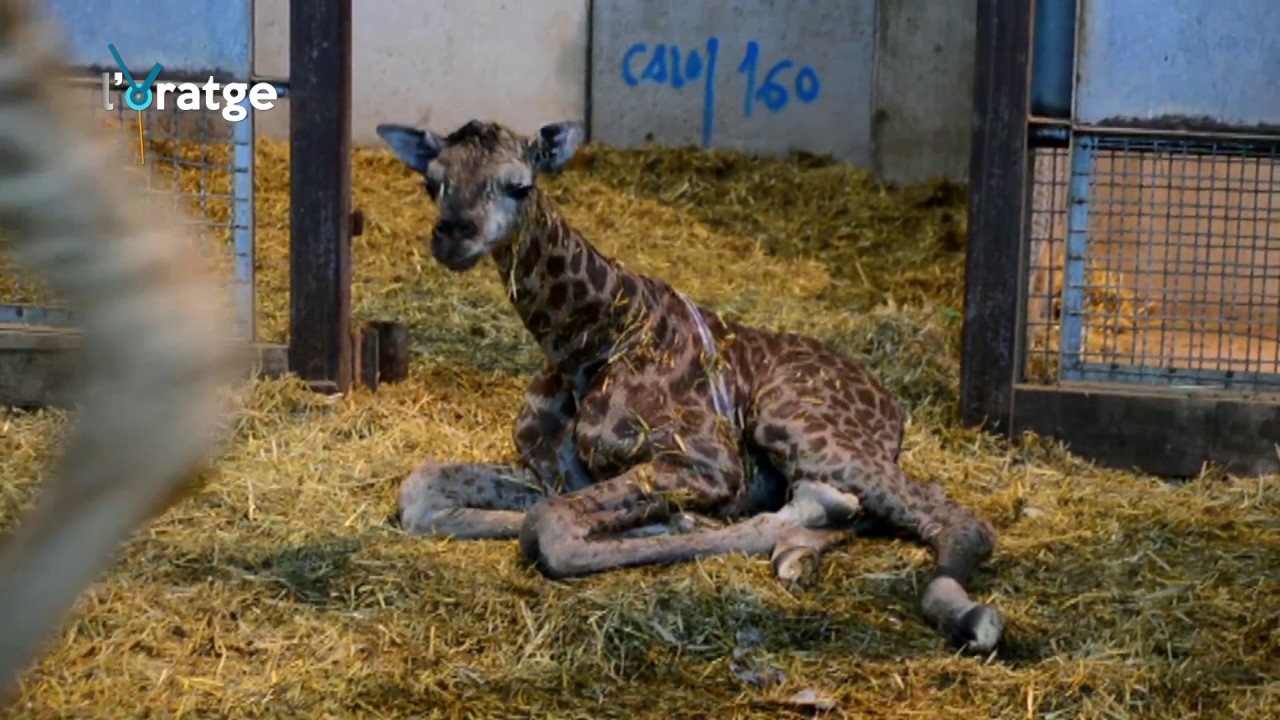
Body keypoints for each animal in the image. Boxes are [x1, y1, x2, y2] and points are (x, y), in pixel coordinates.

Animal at [380, 118, 1004, 653]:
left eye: (519, 184)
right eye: (432, 182)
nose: (453, 238)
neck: (588, 345)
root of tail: (894, 408)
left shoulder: (712, 466)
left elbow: (547, 530)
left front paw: (679, 521)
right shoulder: (554, 471)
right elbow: (422, 491)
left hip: (795, 423)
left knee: (959, 518)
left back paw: (962, 612)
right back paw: (799, 550)